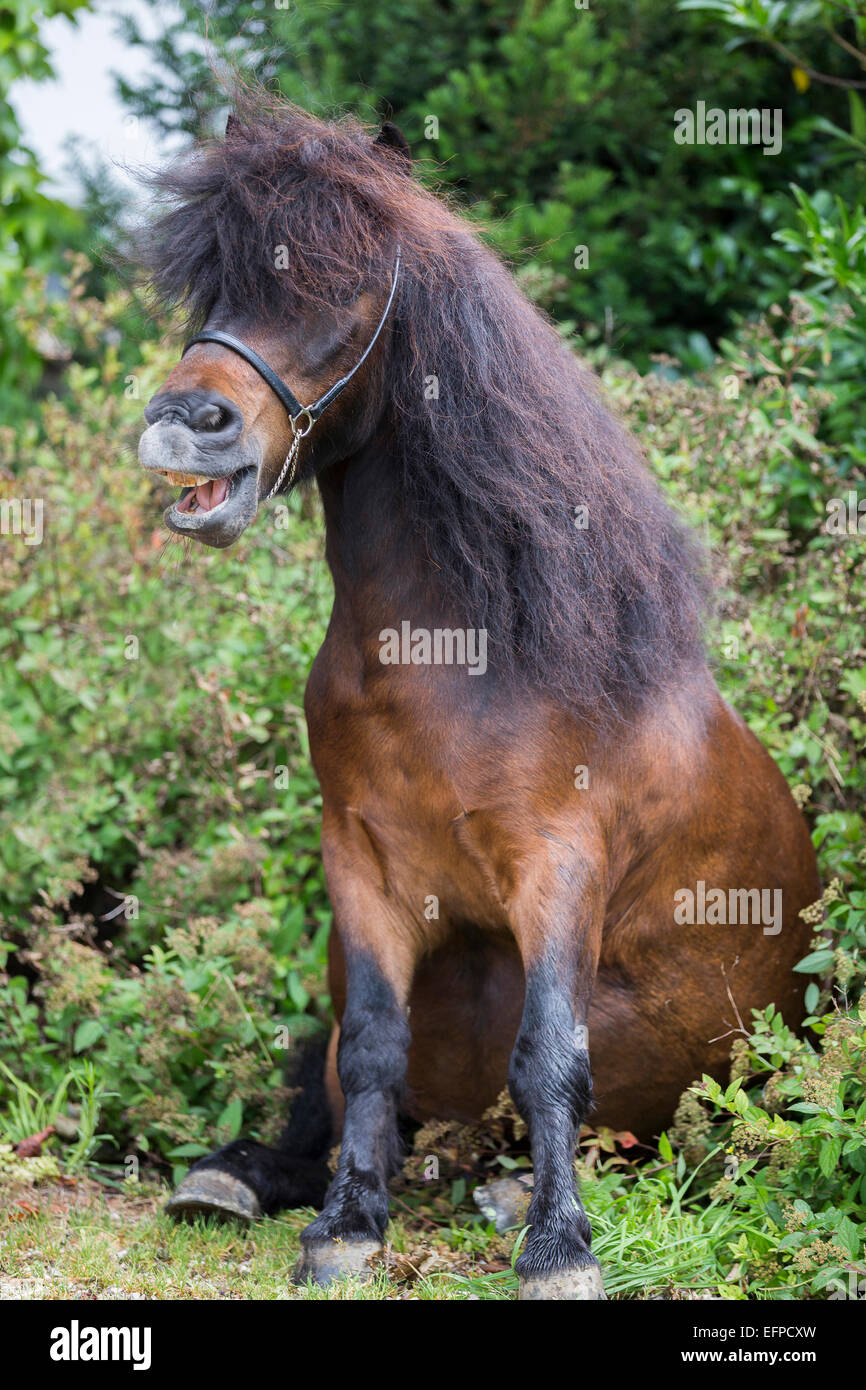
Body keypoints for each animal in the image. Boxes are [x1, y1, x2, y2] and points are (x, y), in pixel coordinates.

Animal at [136, 97, 819, 1299]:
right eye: (214, 287)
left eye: (347, 284)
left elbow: (548, 1055)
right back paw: (240, 1176)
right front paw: (347, 1224)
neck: (451, 653)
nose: (185, 421)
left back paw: (507, 1193)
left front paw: (557, 1248)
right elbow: (366, 1042)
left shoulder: (559, 864)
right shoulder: (360, 863)